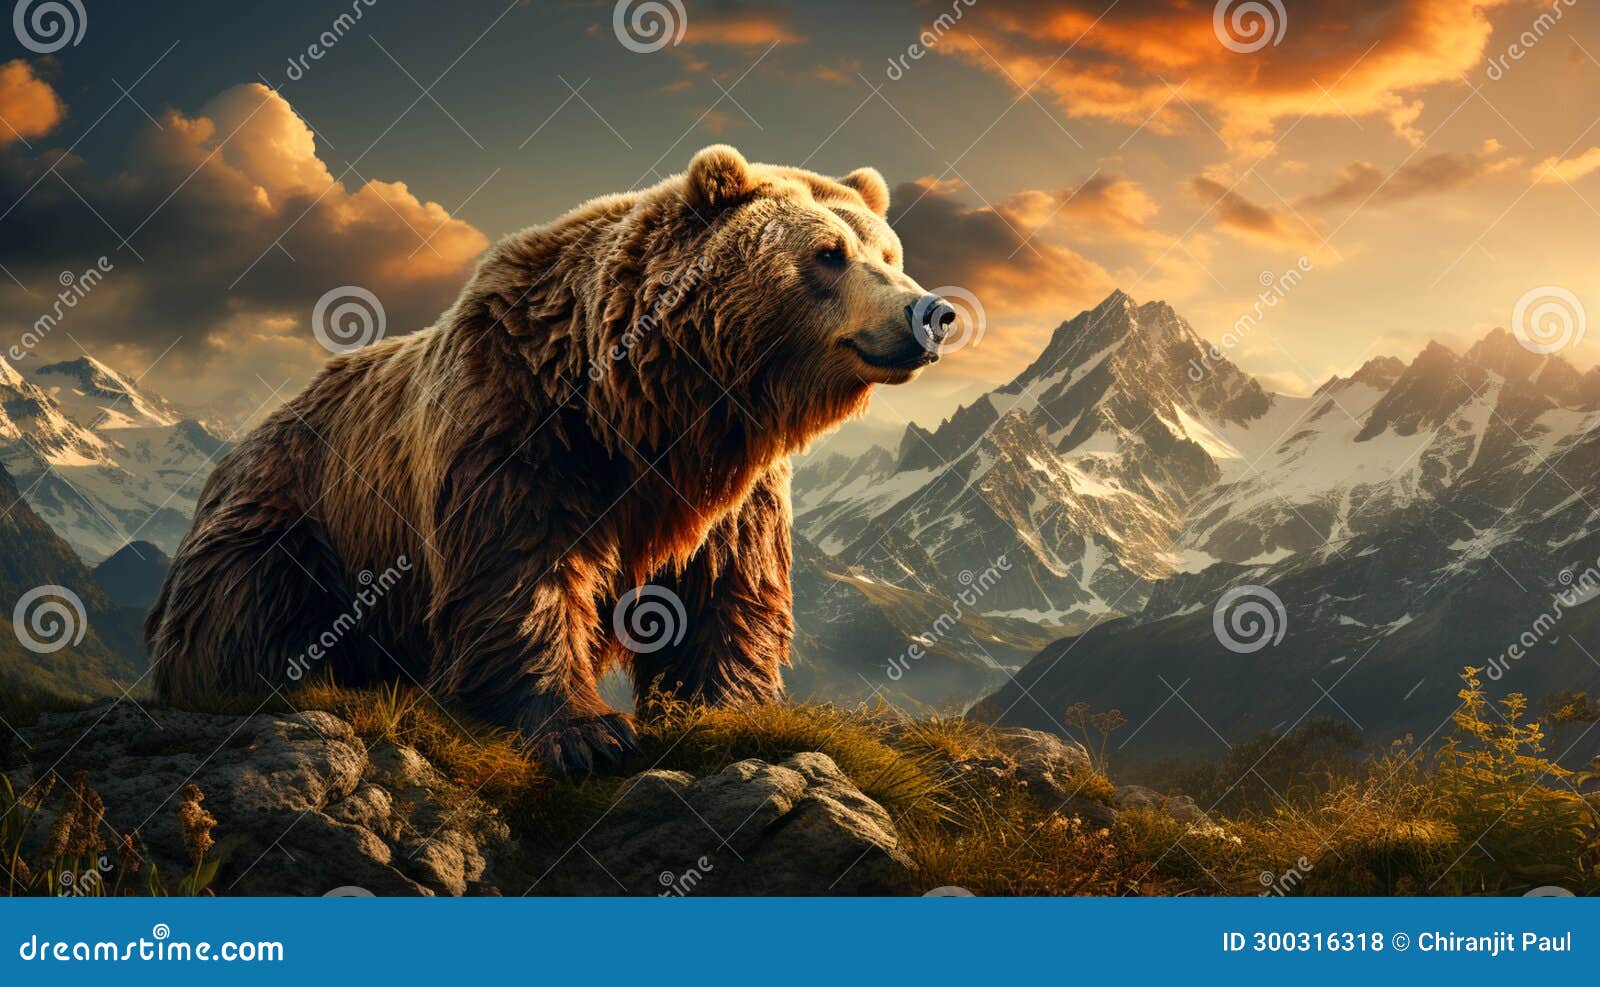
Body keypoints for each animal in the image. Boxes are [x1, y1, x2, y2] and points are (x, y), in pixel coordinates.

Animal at [147, 145, 954, 773]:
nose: (933, 312)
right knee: (249, 607)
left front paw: (728, 712)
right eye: (828, 254)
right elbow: (521, 571)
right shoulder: (522, 434)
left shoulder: (733, 488)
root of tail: (244, 440)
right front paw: (588, 733)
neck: (648, 410)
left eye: (888, 253)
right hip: (294, 519)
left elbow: (726, 589)